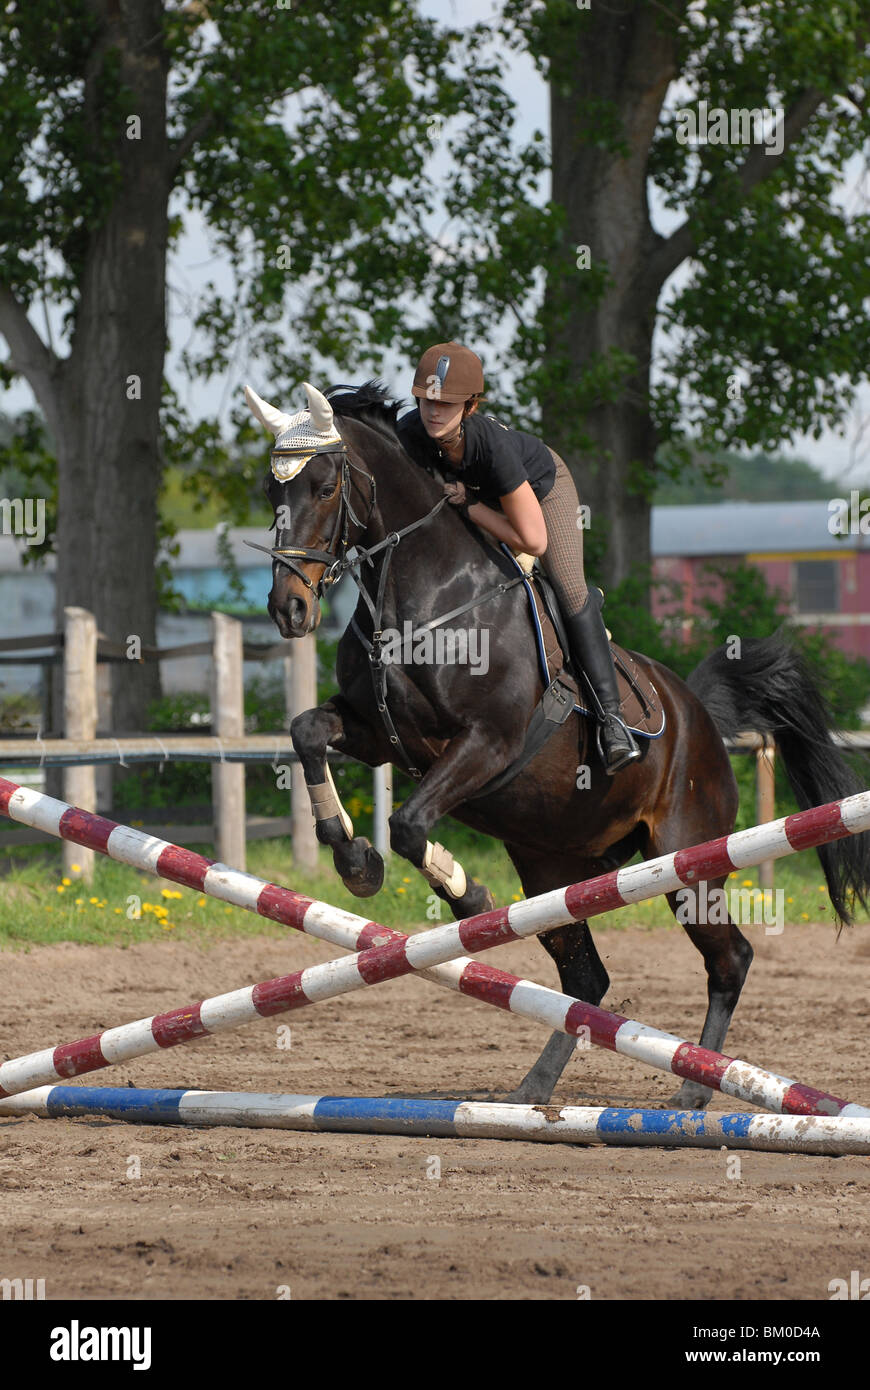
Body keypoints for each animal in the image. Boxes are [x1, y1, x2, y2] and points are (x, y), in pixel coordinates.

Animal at [245, 379, 870, 1108]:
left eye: (323, 486)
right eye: (271, 488)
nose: (288, 609)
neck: (421, 596)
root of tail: (699, 715)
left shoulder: (486, 743)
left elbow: (408, 823)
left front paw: (466, 895)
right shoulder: (380, 738)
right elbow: (308, 733)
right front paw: (355, 862)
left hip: (687, 859)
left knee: (729, 958)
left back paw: (694, 1093)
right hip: (549, 864)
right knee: (586, 981)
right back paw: (533, 1088)